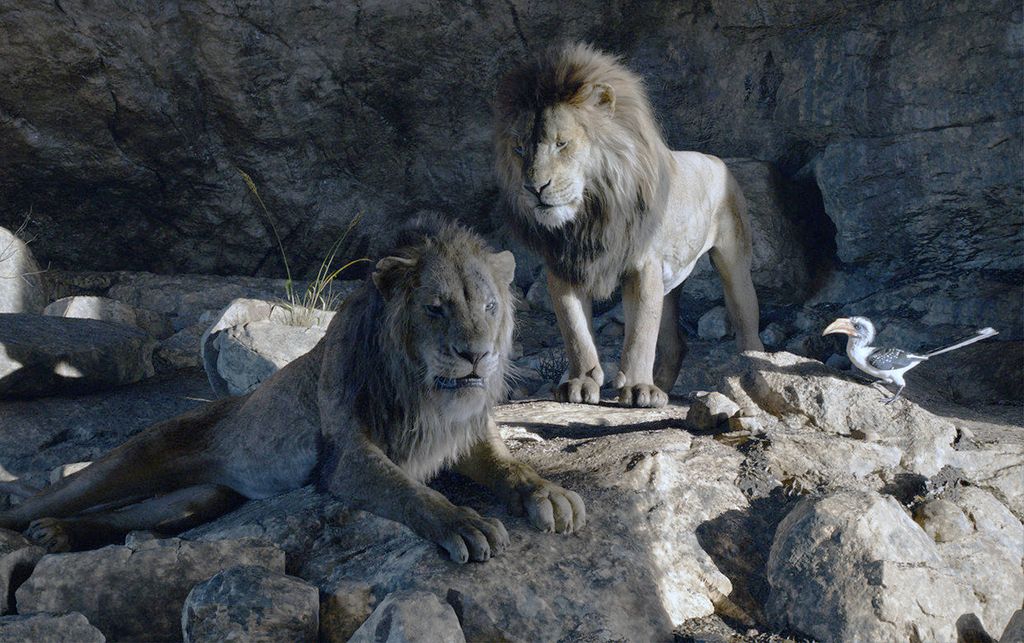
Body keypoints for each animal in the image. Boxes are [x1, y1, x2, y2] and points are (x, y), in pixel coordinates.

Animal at [0, 218, 585, 563]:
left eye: (489, 306)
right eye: (436, 308)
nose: (476, 355)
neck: (425, 391)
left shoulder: (464, 432)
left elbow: (510, 467)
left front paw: (548, 494)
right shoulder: (345, 455)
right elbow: (409, 492)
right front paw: (462, 522)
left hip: (202, 497)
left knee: (133, 517)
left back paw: (59, 535)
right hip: (134, 456)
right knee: (46, 501)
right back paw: (38, 526)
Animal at [495, 43, 764, 408]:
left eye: (562, 143)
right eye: (520, 148)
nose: (534, 188)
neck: (589, 216)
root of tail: (715, 158)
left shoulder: (643, 266)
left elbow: (639, 335)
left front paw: (639, 389)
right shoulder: (564, 267)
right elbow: (575, 331)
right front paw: (580, 383)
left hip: (734, 264)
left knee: (746, 323)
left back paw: (748, 370)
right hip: (670, 282)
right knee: (674, 342)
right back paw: (662, 385)